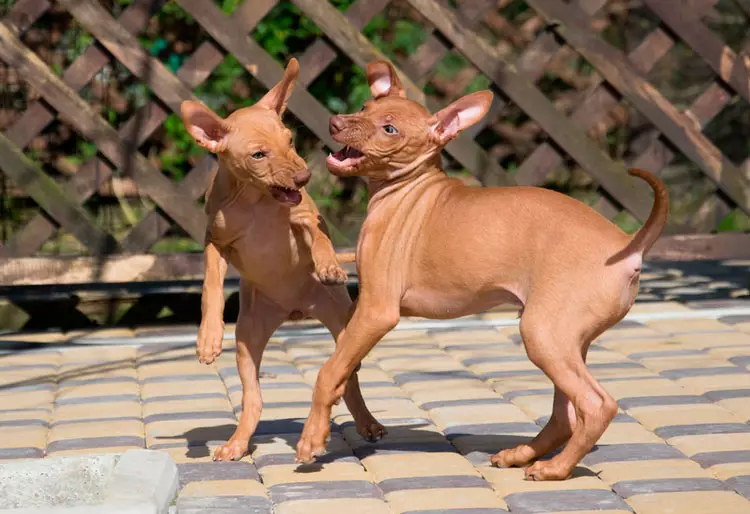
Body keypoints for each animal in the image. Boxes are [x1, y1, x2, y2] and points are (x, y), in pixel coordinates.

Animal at [180, 57, 384, 460]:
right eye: (258, 155)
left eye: (289, 141)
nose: (304, 177)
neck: (255, 201)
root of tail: (295, 311)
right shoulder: (215, 242)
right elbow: (210, 283)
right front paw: (208, 337)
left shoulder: (305, 218)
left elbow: (319, 238)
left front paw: (328, 264)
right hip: (249, 336)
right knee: (254, 398)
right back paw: (237, 442)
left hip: (341, 324)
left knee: (348, 379)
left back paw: (366, 422)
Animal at [294, 61, 668, 480]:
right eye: (363, 107)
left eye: (389, 129)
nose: (335, 121)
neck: (405, 190)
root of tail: (628, 245)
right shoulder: (362, 305)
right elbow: (344, 355)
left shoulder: (377, 310)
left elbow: (328, 372)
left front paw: (312, 440)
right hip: (567, 340)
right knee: (565, 416)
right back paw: (520, 455)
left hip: (543, 334)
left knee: (596, 404)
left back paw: (554, 469)